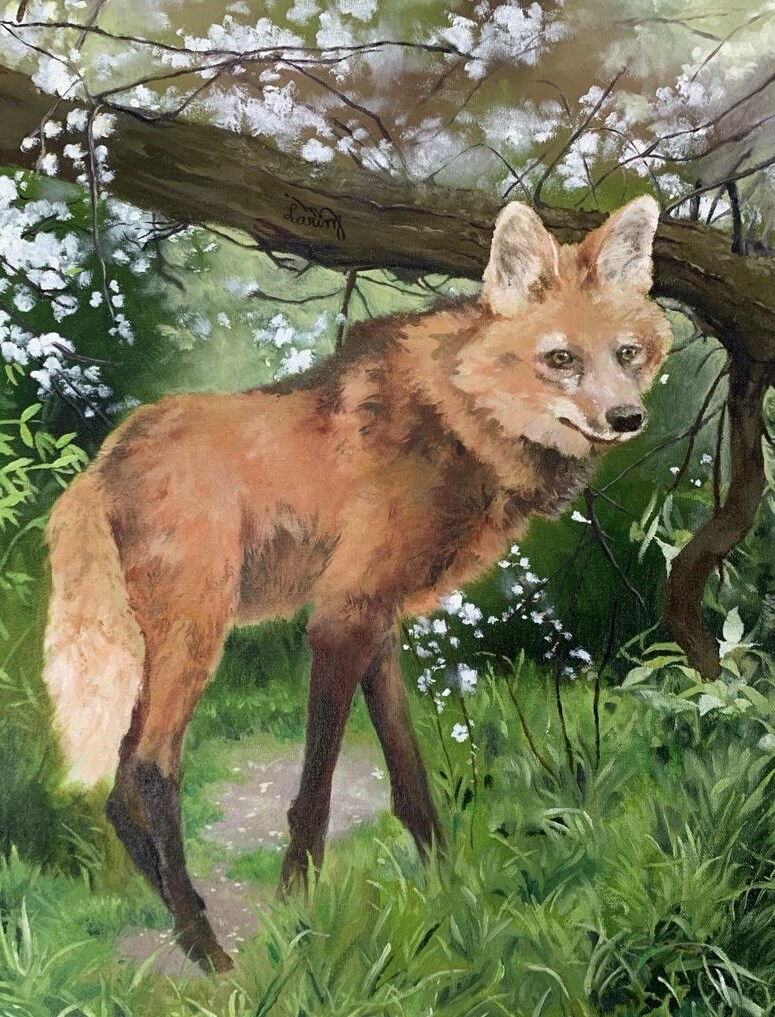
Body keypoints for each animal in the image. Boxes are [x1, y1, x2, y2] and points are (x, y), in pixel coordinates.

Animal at [43, 196, 670, 971]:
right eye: (561, 359)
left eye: (627, 354)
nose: (626, 418)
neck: (461, 419)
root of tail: (104, 460)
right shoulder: (342, 617)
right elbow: (314, 794)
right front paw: (296, 912)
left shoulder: (377, 619)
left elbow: (411, 783)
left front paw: (449, 893)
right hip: (193, 634)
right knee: (148, 770)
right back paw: (203, 943)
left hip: (161, 644)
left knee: (117, 788)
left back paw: (183, 919)